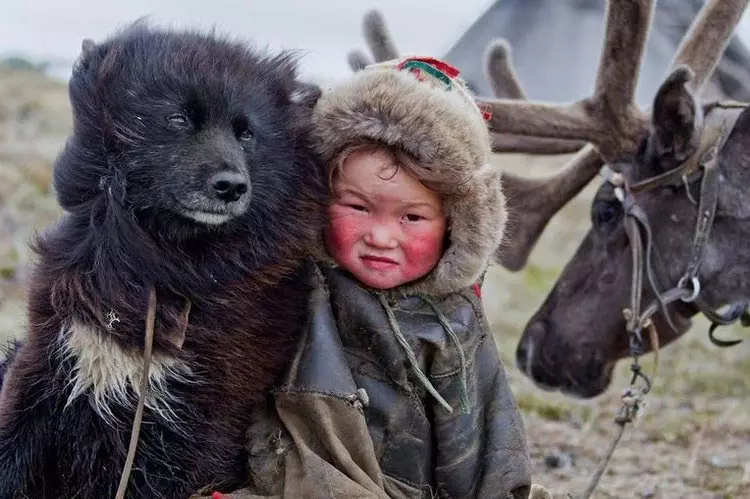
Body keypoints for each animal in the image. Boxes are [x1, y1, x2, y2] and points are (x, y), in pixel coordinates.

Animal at [0, 21, 328, 498]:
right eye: (178, 119)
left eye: (246, 133)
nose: (232, 186)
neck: (158, 266)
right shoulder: (43, 372)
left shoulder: (191, 430)